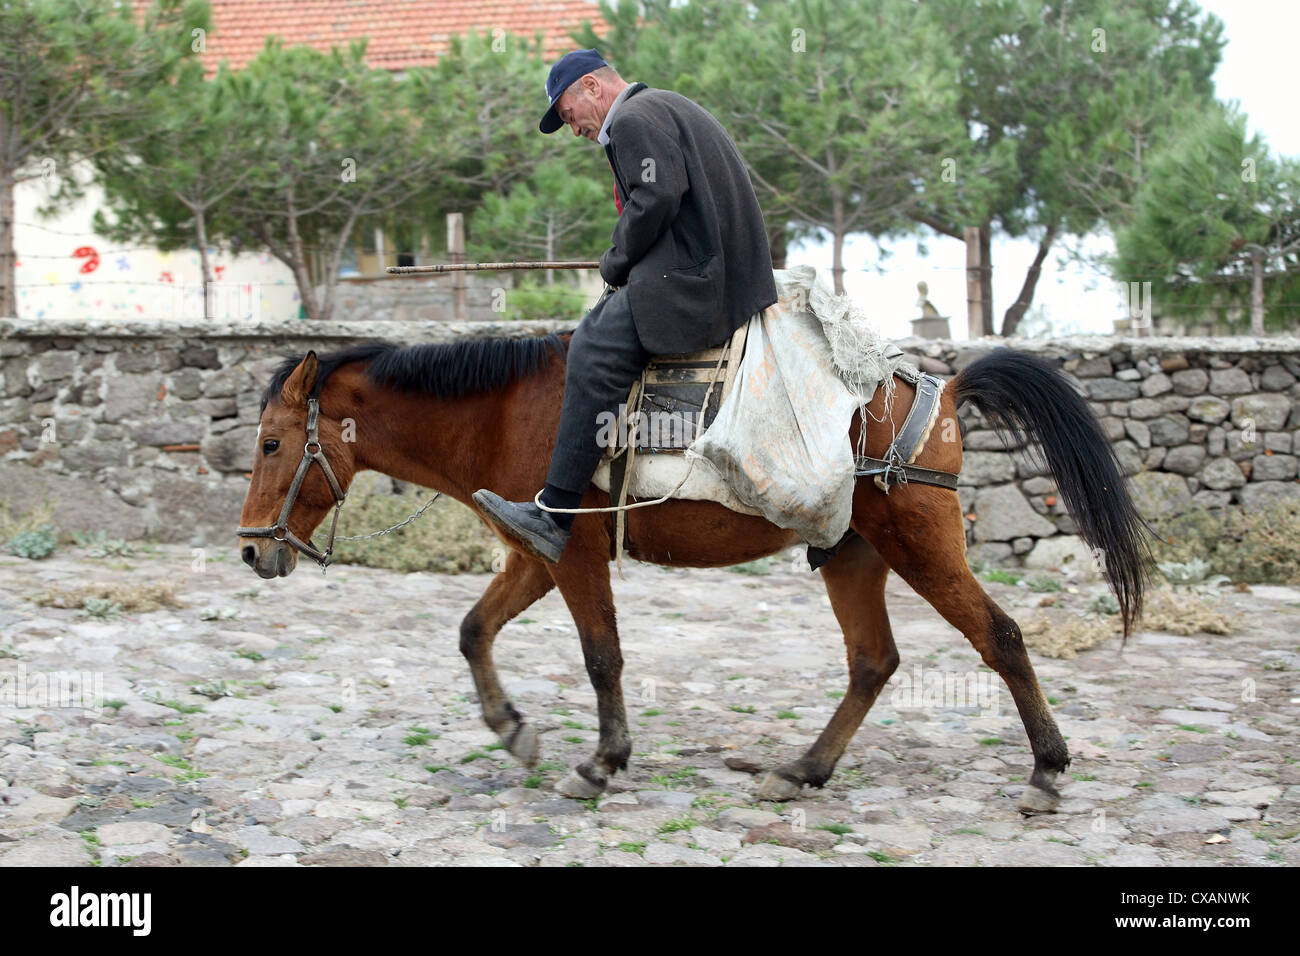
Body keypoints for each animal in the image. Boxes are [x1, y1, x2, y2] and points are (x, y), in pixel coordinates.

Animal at [236, 318, 1151, 815]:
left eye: (272, 443)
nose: (250, 547)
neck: (502, 410)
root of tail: (947, 391)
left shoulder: (572, 552)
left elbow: (601, 655)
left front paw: (600, 763)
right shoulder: (536, 552)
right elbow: (472, 629)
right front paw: (513, 729)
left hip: (920, 544)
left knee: (1001, 638)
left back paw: (1045, 772)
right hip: (851, 552)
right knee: (873, 661)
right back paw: (801, 769)